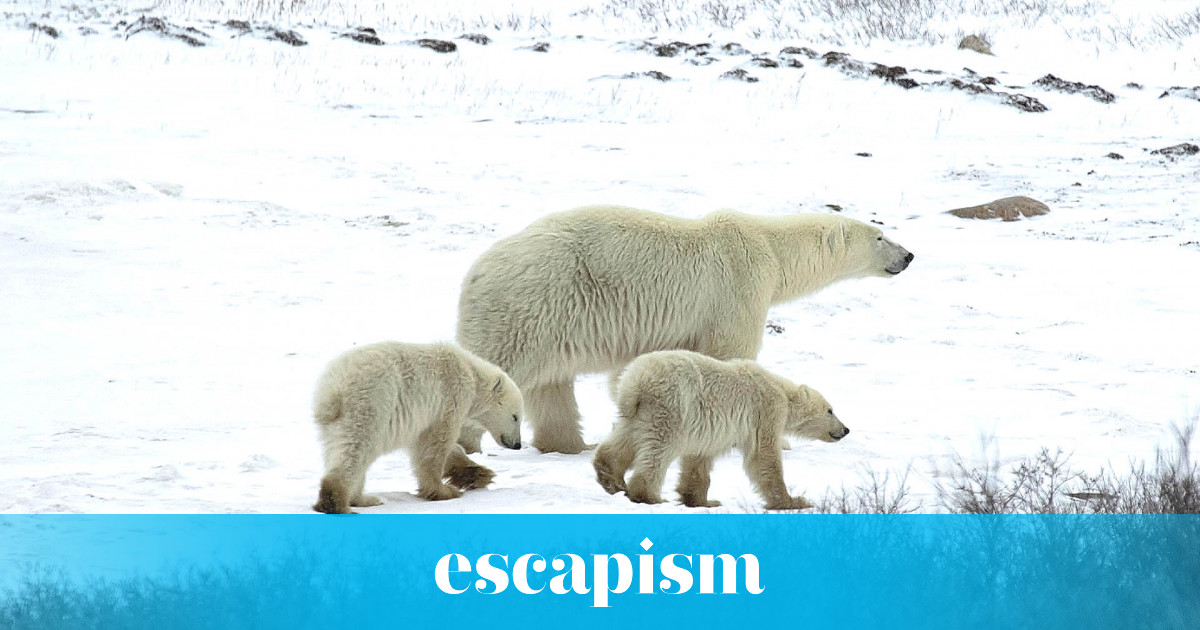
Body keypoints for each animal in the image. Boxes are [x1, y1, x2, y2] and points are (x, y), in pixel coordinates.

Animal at [311, 341, 523, 514]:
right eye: (515, 417)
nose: (517, 445)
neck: (471, 372)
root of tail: (332, 389)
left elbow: (434, 445)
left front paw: (479, 474)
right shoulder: (450, 397)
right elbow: (435, 445)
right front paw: (444, 491)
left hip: (337, 421)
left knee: (340, 448)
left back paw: (364, 499)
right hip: (371, 403)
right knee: (357, 449)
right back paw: (337, 503)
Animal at [456, 204, 910, 454]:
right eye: (880, 235)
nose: (908, 255)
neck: (770, 248)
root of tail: (476, 272)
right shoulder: (737, 287)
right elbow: (732, 354)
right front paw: (774, 438)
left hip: (552, 321)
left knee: (552, 385)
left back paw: (569, 444)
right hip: (532, 304)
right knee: (497, 369)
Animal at [592, 350, 848, 510]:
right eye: (830, 410)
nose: (845, 429)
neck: (782, 390)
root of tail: (636, 380)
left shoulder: (709, 429)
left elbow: (699, 459)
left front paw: (702, 501)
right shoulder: (766, 410)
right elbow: (764, 455)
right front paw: (794, 501)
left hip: (640, 413)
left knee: (624, 439)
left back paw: (610, 477)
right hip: (672, 407)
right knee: (659, 449)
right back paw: (648, 495)